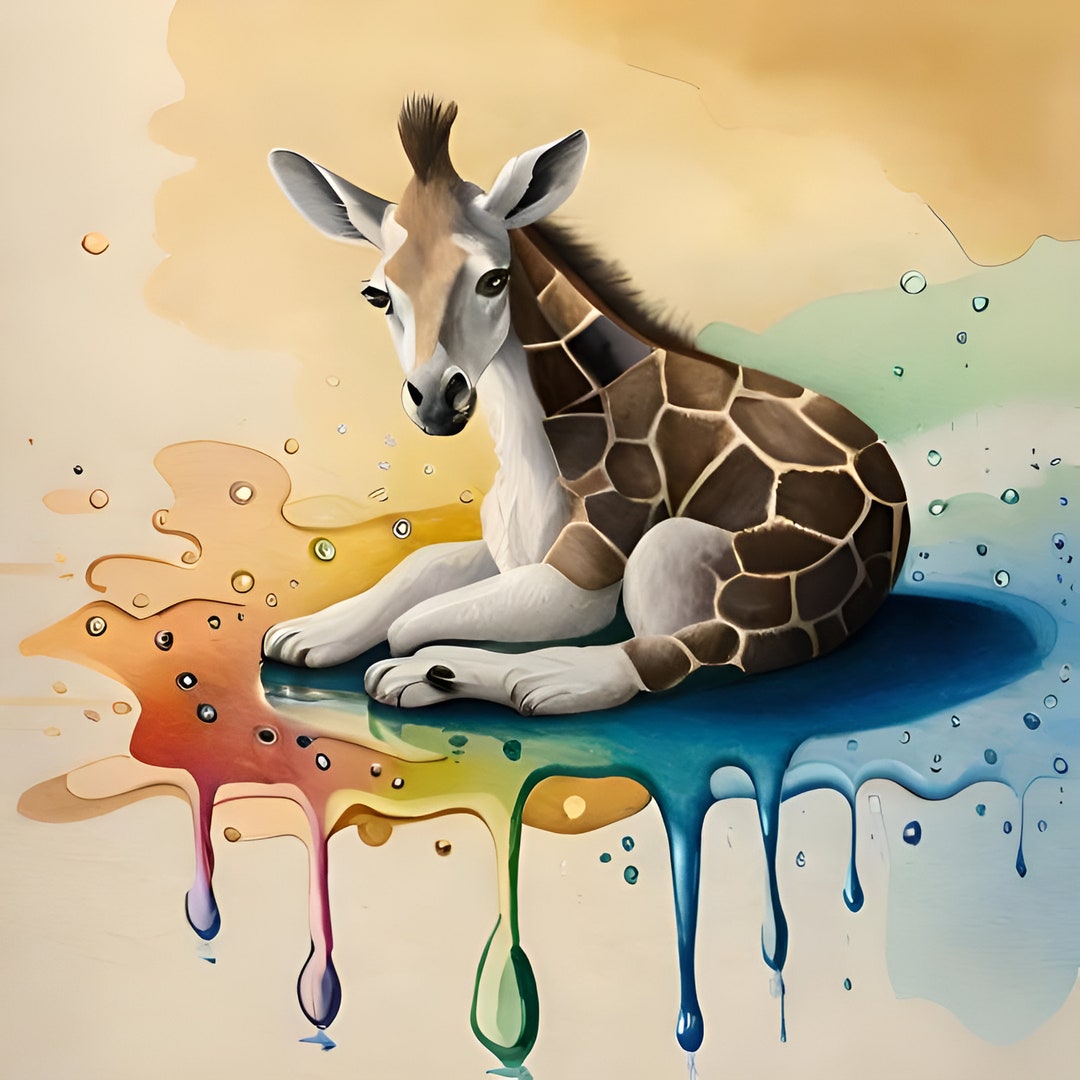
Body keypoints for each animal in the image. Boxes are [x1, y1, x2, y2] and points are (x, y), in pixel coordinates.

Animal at [264, 96, 910, 715]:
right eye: (378, 295)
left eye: (494, 280)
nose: (437, 404)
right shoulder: (512, 552)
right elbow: (418, 567)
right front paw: (306, 633)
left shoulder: (583, 577)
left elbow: (409, 623)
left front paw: (411, 666)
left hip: (666, 552)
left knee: (666, 657)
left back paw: (467, 679)